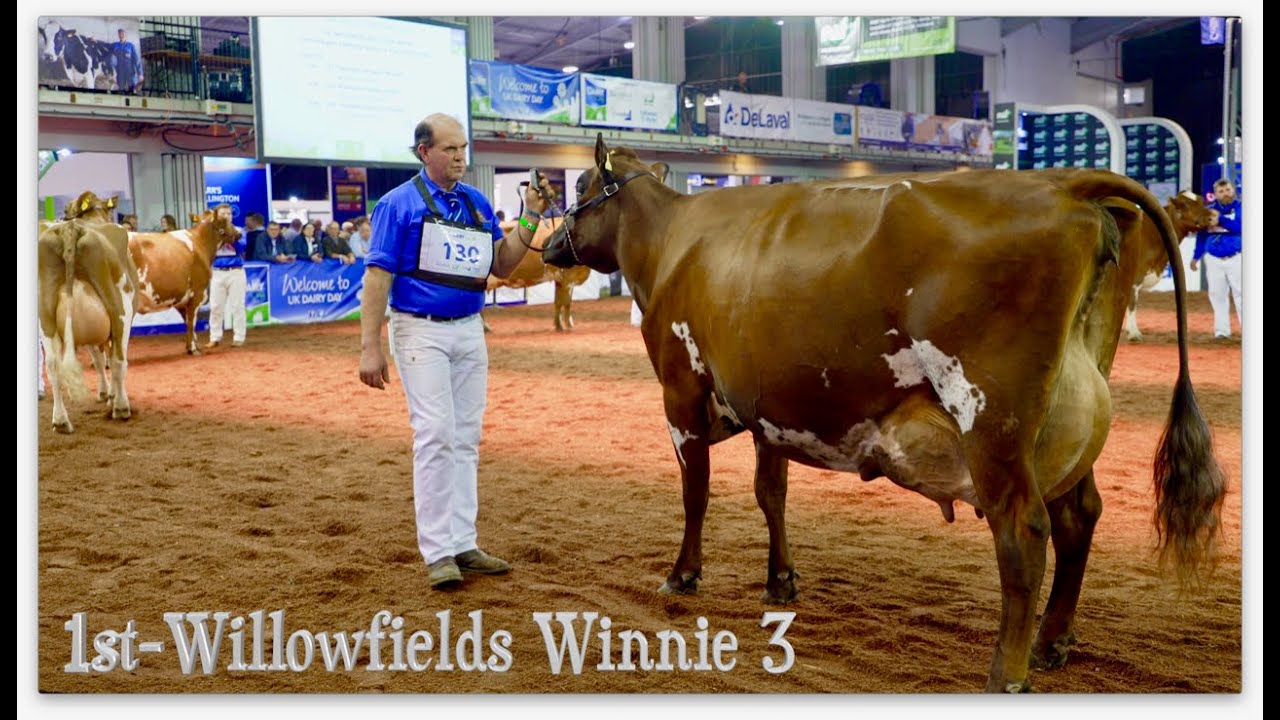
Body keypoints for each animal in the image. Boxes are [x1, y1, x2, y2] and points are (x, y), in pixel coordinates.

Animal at [38, 217, 139, 433]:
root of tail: (70, 227)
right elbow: (109, 359)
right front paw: (111, 396)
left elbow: (99, 359)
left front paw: (105, 393)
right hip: (121, 311)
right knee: (119, 361)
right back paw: (121, 407)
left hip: (45, 317)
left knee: (53, 364)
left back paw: (60, 421)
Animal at [128, 211, 242, 354]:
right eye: (224, 220)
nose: (239, 233)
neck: (199, 243)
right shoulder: (197, 292)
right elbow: (192, 321)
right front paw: (193, 348)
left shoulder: (182, 299)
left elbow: (187, 323)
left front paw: (192, 346)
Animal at [1124, 191, 1217, 341]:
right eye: (1185, 204)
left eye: (1201, 200)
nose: (1213, 216)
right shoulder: (1136, 278)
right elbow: (1132, 304)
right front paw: (1133, 333)